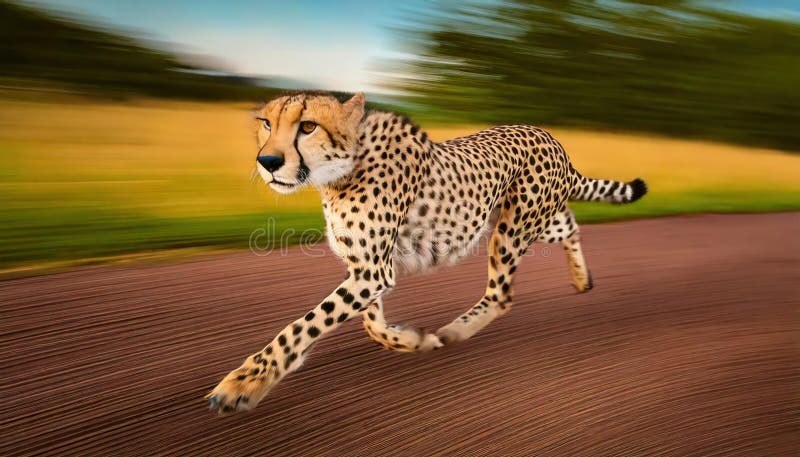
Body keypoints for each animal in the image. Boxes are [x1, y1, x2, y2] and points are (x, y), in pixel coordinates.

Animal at [206, 91, 647, 415]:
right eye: (267, 123)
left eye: (308, 126)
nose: (267, 161)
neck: (340, 174)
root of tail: (550, 137)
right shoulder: (368, 268)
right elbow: (372, 325)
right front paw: (410, 341)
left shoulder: (372, 272)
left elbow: (302, 327)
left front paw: (244, 383)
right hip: (529, 220)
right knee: (570, 224)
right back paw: (582, 279)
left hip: (513, 229)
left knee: (502, 293)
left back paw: (456, 330)